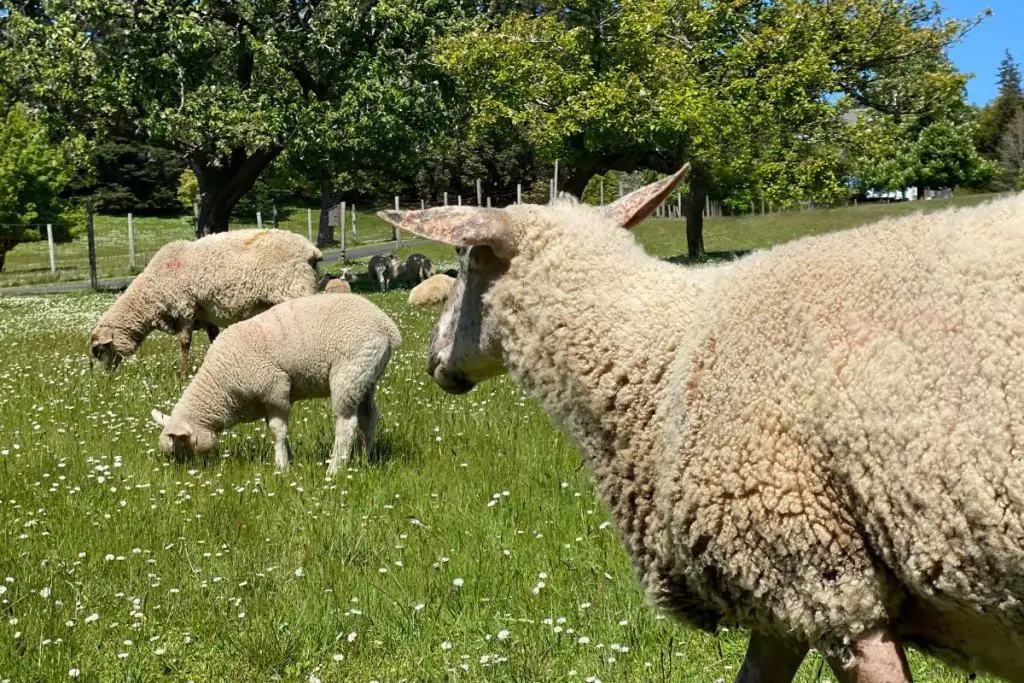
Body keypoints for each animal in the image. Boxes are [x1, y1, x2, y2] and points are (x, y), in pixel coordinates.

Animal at [91, 229, 321, 378]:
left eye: (98, 350)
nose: (104, 379)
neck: (152, 293)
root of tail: (311, 250)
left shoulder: (184, 307)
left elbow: (184, 342)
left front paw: (183, 376)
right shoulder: (208, 313)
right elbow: (214, 338)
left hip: (294, 289)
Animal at [150, 293, 401, 476]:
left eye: (181, 448)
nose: (185, 473)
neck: (219, 386)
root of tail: (388, 328)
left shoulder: (275, 389)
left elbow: (277, 431)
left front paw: (281, 466)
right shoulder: (266, 400)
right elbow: (276, 430)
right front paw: (289, 458)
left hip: (348, 373)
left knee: (346, 424)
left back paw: (335, 469)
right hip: (365, 377)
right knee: (369, 418)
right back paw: (363, 459)